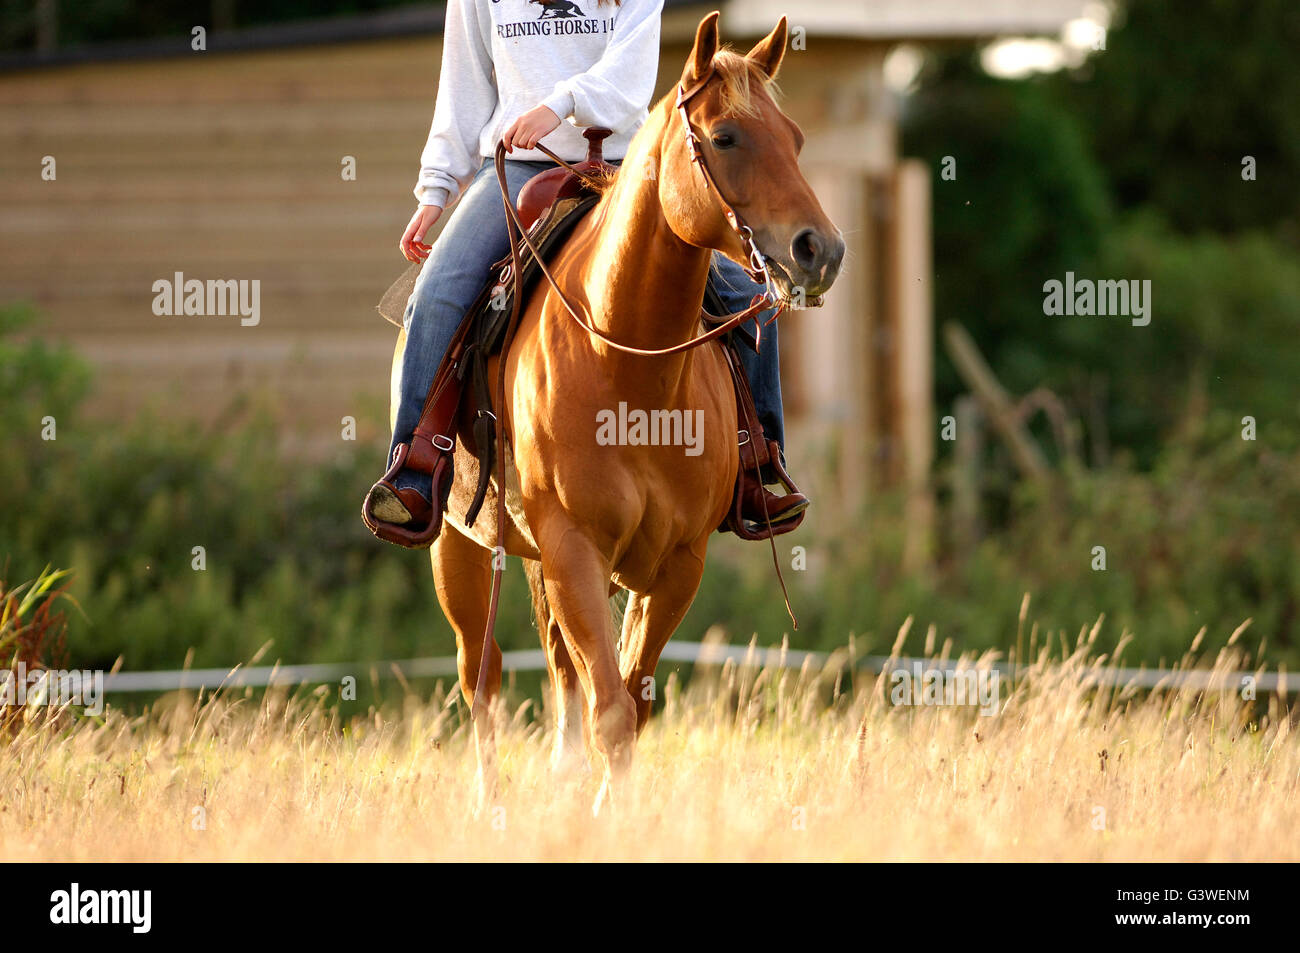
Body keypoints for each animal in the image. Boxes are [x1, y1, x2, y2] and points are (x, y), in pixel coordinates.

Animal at [387, 12, 844, 810]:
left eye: (794, 137)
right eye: (726, 136)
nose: (820, 250)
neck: (627, 365)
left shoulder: (676, 561)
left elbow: (631, 699)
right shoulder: (573, 546)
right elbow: (609, 709)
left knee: (558, 669)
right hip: (458, 545)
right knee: (482, 674)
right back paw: (491, 804)